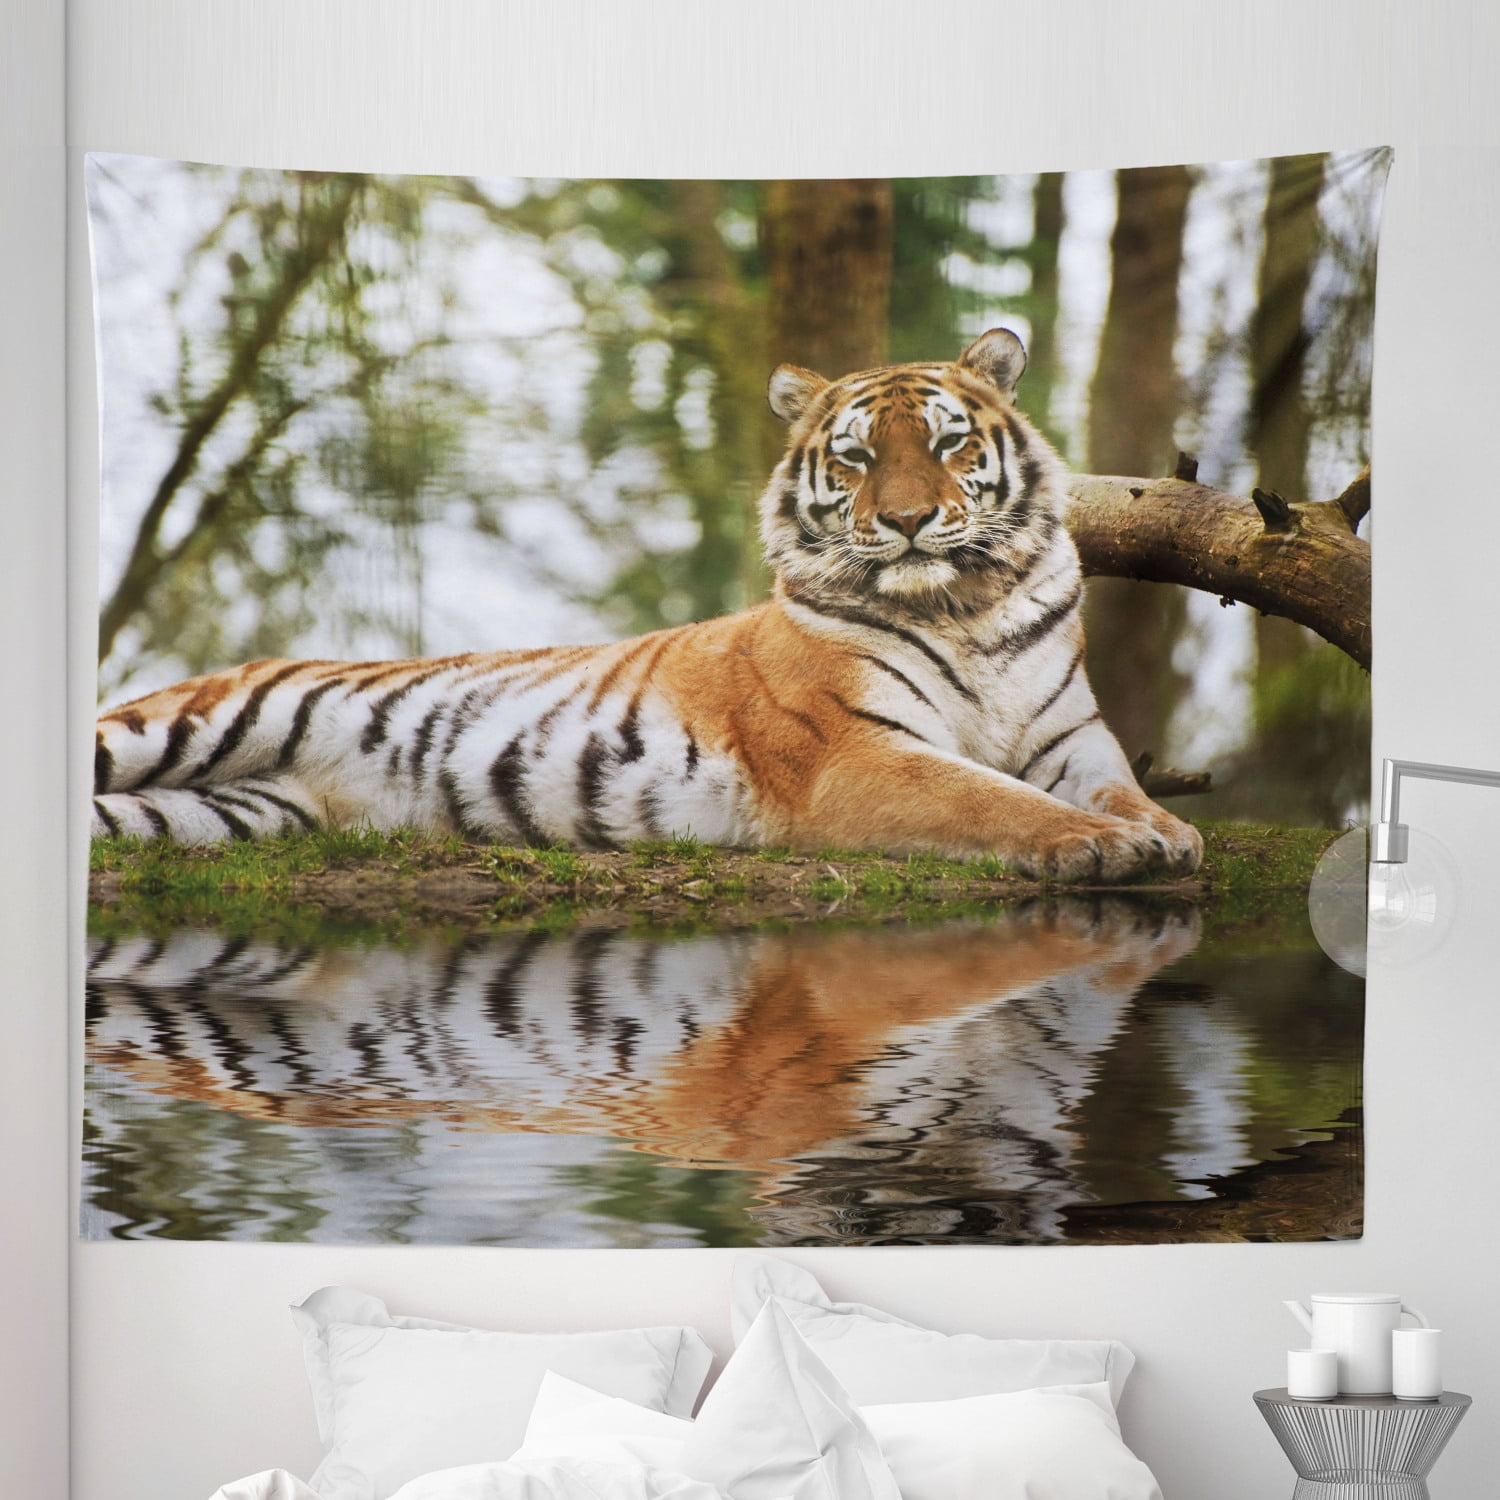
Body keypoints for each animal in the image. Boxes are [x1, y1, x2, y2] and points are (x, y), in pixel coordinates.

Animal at [92, 327, 1202, 881]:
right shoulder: (858, 754)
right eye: (855, 457)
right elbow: (990, 798)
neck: (964, 608)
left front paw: (1165, 833)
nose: (909, 520)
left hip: (223, 814)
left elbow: (1115, 789)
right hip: (186, 725)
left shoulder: (1073, 740)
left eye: (948, 443)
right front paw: (1104, 847)